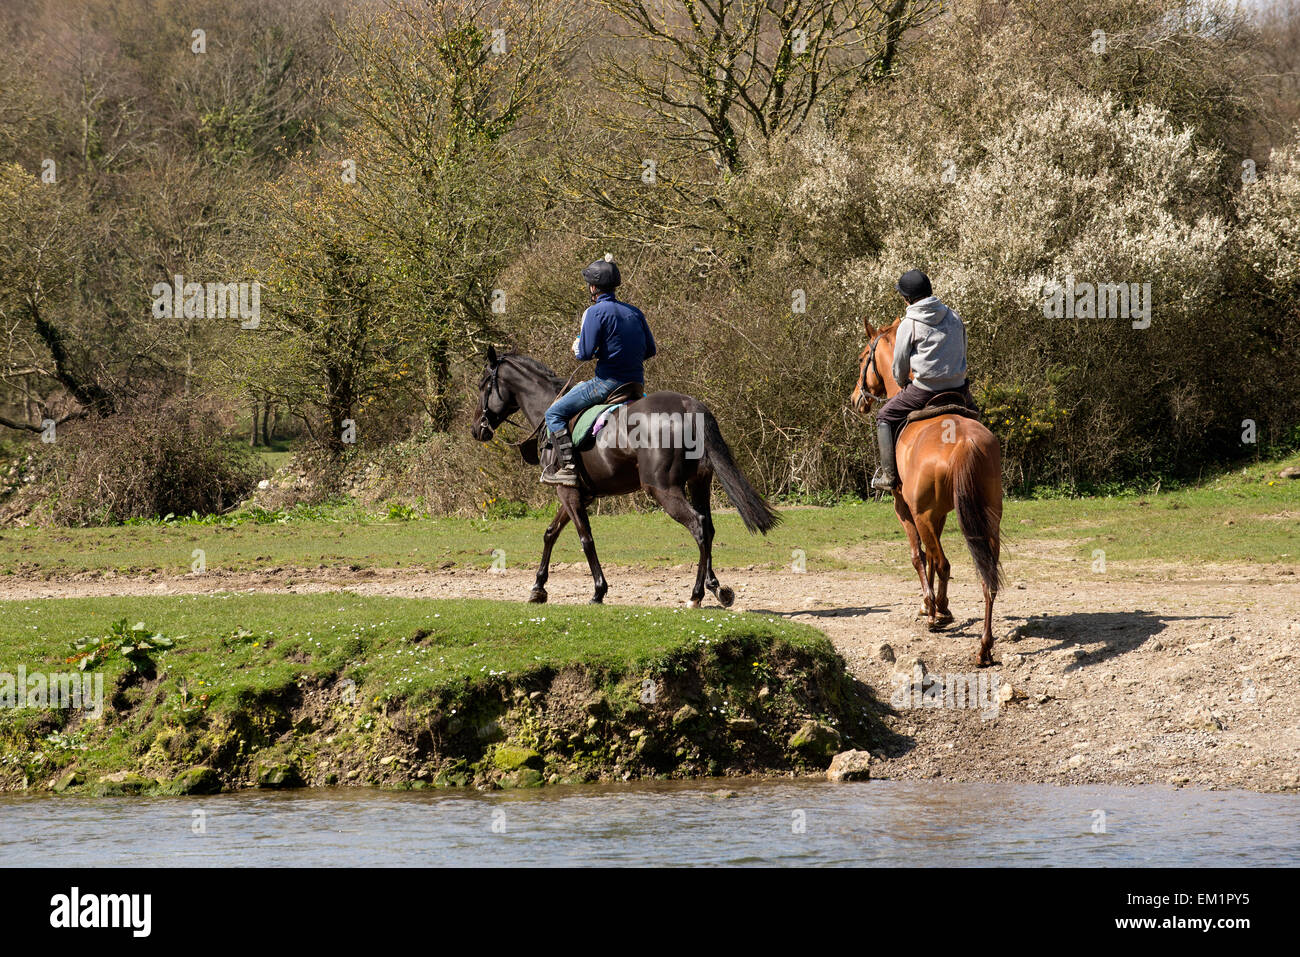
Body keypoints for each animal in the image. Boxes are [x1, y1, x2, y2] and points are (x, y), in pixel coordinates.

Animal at [471, 347, 780, 606]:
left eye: (483, 385)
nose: (477, 429)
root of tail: (687, 405)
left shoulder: (568, 493)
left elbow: (585, 539)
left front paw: (598, 591)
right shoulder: (575, 493)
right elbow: (550, 533)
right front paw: (538, 587)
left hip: (664, 490)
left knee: (698, 526)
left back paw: (695, 595)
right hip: (698, 484)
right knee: (709, 527)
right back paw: (715, 587)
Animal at [850, 318, 1004, 667]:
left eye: (864, 356)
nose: (855, 398)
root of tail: (964, 442)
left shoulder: (907, 511)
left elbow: (919, 557)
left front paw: (930, 607)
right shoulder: (939, 515)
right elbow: (932, 559)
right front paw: (937, 604)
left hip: (921, 514)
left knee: (943, 562)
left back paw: (939, 618)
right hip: (989, 520)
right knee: (987, 577)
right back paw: (984, 647)